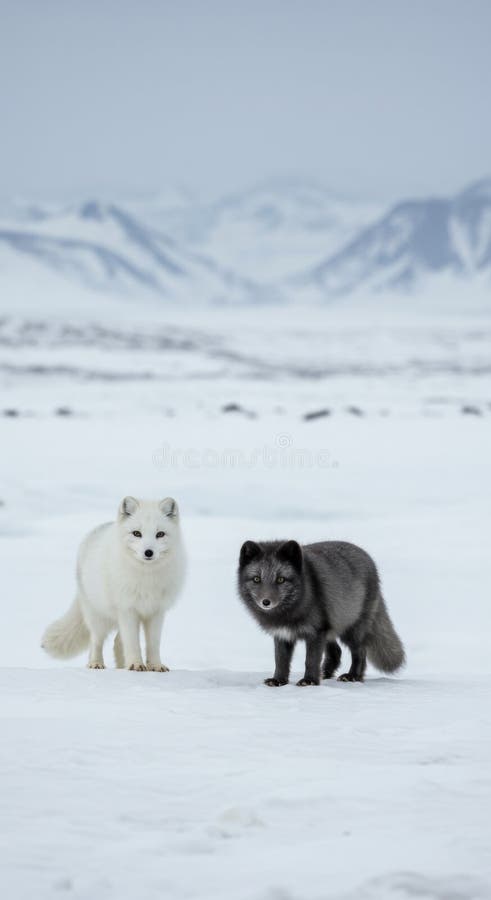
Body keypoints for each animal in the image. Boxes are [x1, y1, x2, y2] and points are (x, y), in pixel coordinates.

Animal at [42, 496, 185, 671]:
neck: (146, 578)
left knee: (117, 641)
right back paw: (96, 663)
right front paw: (136, 664)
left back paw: (121, 666)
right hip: (98, 616)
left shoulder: (156, 612)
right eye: (137, 533)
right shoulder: (127, 610)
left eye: (160, 534)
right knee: (95, 641)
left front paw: (155, 666)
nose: (148, 552)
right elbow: (132, 643)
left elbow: (153, 644)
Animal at [237, 539, 405, 686]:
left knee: (360, 652)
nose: (266, 602)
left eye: (280, 579)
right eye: (256, 579)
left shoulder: (315, 632)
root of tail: (368, 558)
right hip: (331, 627)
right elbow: (281, 661)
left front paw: (310, 681)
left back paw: (352, 676)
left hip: (351, 629)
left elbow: (310, 660)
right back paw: (325, 674)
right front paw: (278, 680)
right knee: (336, 651)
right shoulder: (282, 634)